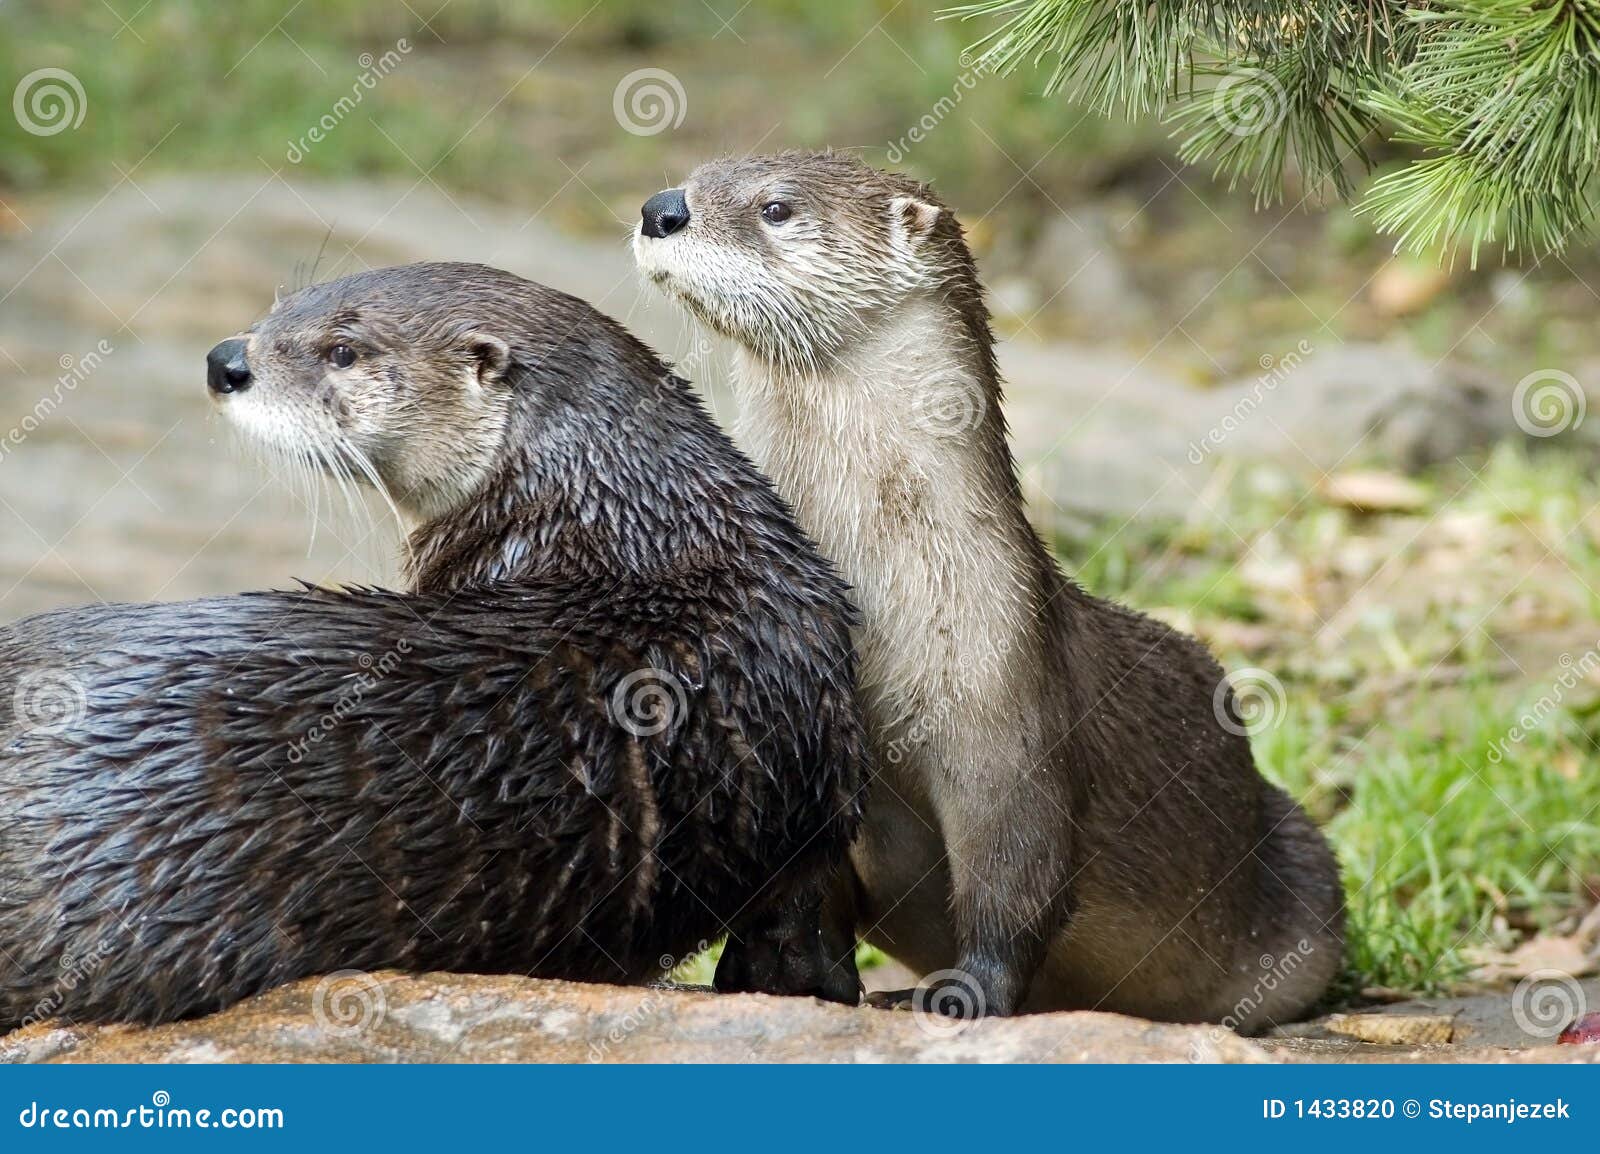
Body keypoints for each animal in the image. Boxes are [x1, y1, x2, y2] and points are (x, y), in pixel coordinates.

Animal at [634, 153, 1343, 1030]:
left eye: (776, 208)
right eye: (698, 173)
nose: (662, 208)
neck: (889, 595)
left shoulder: (1007, 701)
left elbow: (1017, 884)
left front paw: (959, 995)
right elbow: (809, 888)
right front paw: (778, 975)